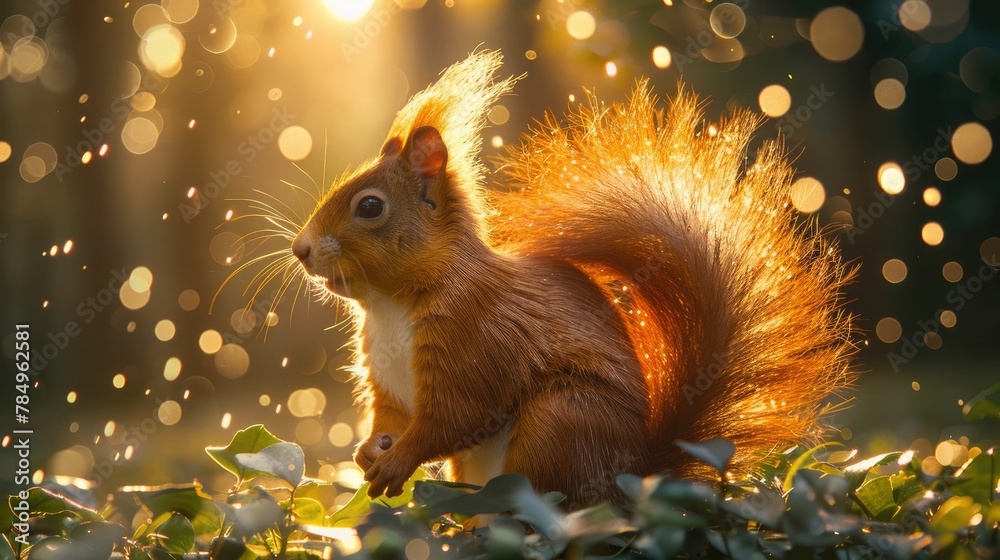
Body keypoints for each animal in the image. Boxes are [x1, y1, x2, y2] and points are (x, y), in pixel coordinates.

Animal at [290, 50, 855, 507]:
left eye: (370, 207)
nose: (301, 250)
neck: (391, 304)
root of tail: (635, 479)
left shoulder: (477, 336)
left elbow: (453, 416)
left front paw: (395, 461)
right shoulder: (386, 380)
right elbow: (391, 417)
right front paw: (370, 450)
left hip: (560, 421)